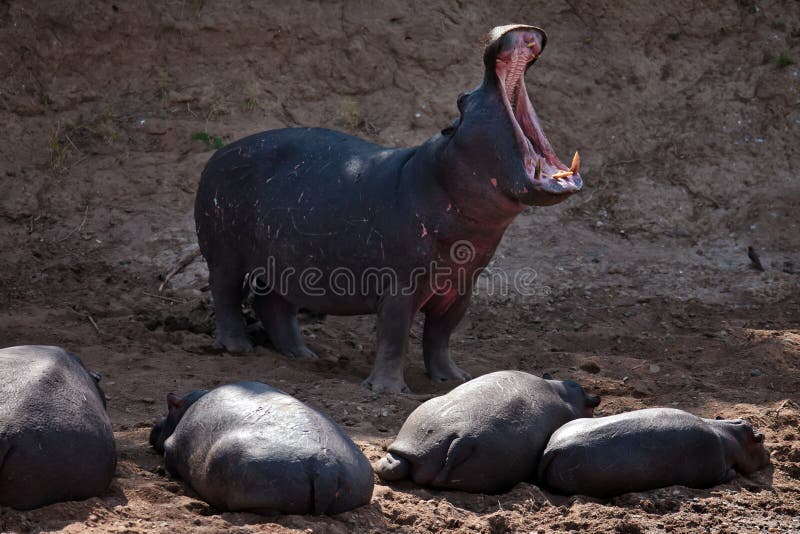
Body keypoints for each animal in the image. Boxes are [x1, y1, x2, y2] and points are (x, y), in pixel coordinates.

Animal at [194, 24, 584, 393]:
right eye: (462, 99)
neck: (442, 172)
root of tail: (218, 154)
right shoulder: (401, 285)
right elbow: (394, 335)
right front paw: (388, 390)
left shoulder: (461, 286)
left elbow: (440, 335)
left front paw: (453, 378)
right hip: (225, 255)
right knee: (226, 295)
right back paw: (237, 348)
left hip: (281, 258)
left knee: (273, 304)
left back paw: (303, 356)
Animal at [373, 371, 600, 493]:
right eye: (577, 386)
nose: (596, 397)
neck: (563, 391)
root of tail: (464, 435)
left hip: (416, 440)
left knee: (395, 464)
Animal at [538, 408, 771, 498]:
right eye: (760, 438)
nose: (770, 455)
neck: (729, 436)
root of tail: (554, 448)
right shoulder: (715, 469)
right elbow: (729, 473)